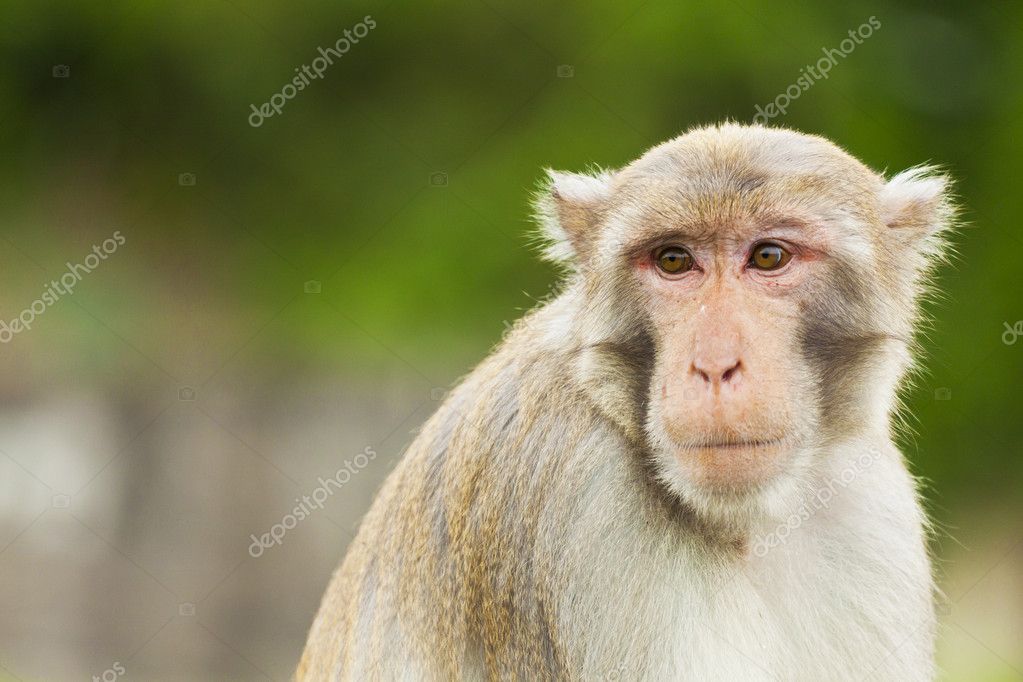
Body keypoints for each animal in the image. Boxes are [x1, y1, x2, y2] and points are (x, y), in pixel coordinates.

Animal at [296, 123, 955, 681]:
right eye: (673, 260)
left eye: (769, 256)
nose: (714, 364)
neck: (745, 526)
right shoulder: (578, 499)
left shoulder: (869, 506)